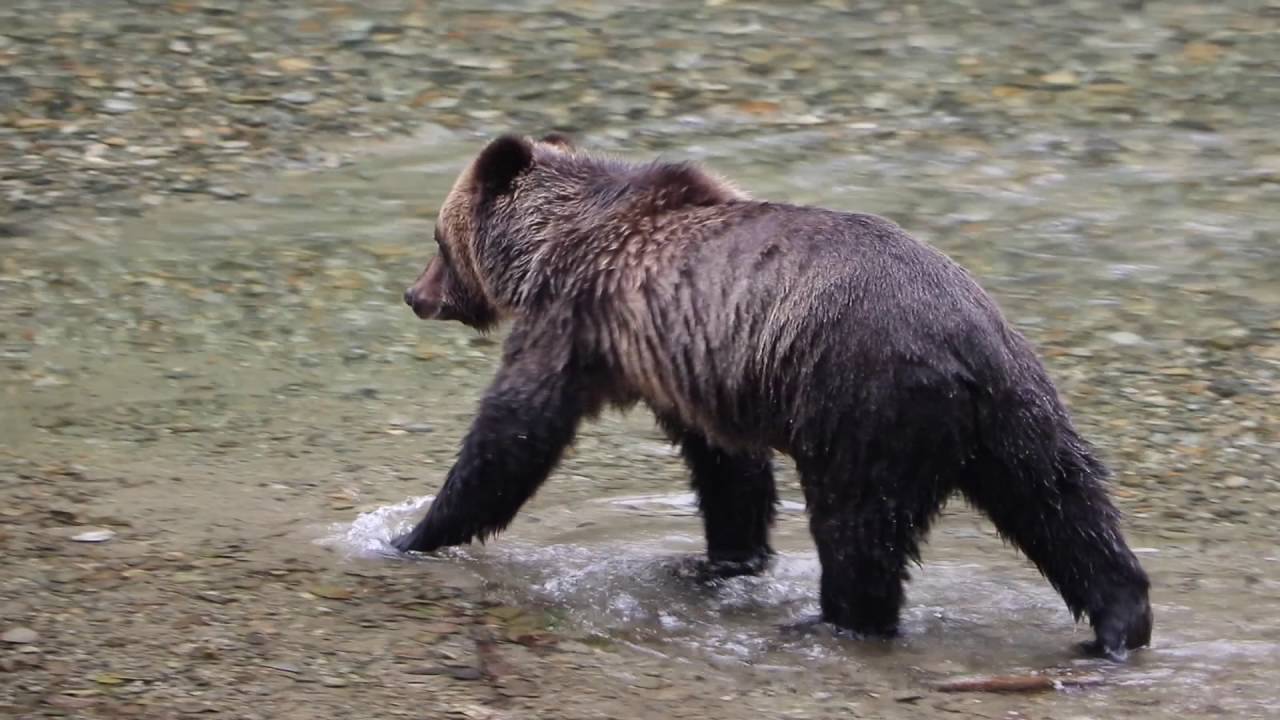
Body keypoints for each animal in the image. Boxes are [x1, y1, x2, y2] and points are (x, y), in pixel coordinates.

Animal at [395, 133, 1153, 660]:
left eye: (437, 239)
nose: (414, 294)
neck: (551, 242)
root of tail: (967, 345)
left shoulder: (574, 314)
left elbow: (515, 433)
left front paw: (412, 531)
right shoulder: (688, 355)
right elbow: (728, 470)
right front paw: (724, 559)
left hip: (866, 402)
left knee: (860, 533)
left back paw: (832, 621)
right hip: (1017, 409)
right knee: (1063, 506)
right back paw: (1119, 624)